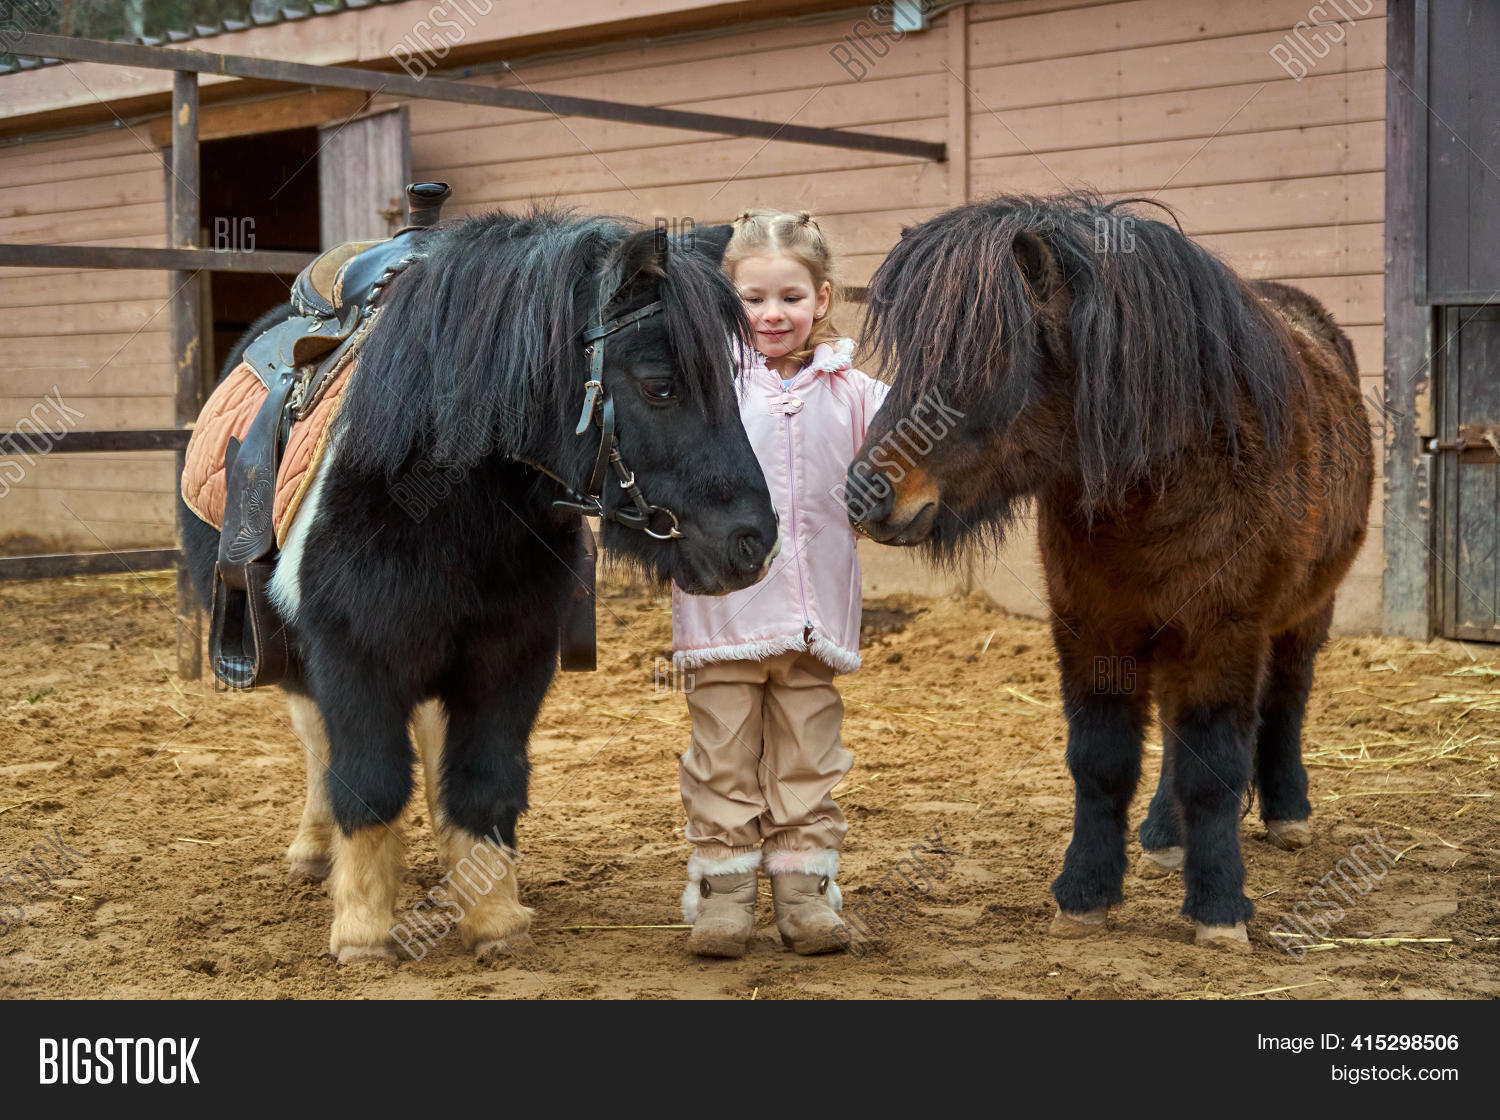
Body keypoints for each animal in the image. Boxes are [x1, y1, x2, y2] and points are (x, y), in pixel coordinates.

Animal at [181, 209, 779, 962]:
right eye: (660, 385)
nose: (753, 543)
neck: (439, 503)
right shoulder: (352, 658)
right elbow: (369, 780)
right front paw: (363, 931)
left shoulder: (510, 658)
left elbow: (485, 781)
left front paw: (493, 916)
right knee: (318, 744)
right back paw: (317, 853)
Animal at [846, 193, 1373, 949]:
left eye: (992, 358)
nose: (866, 493)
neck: (1169, 473)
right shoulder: (1092, 628)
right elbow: (1102, 761)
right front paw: (1086, 893)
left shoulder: (1224, 632)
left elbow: (1214, 768)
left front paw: (1219, 908)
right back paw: (1163, 834)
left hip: (1302, 615)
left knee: (1286, 699)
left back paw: (1287, 812)